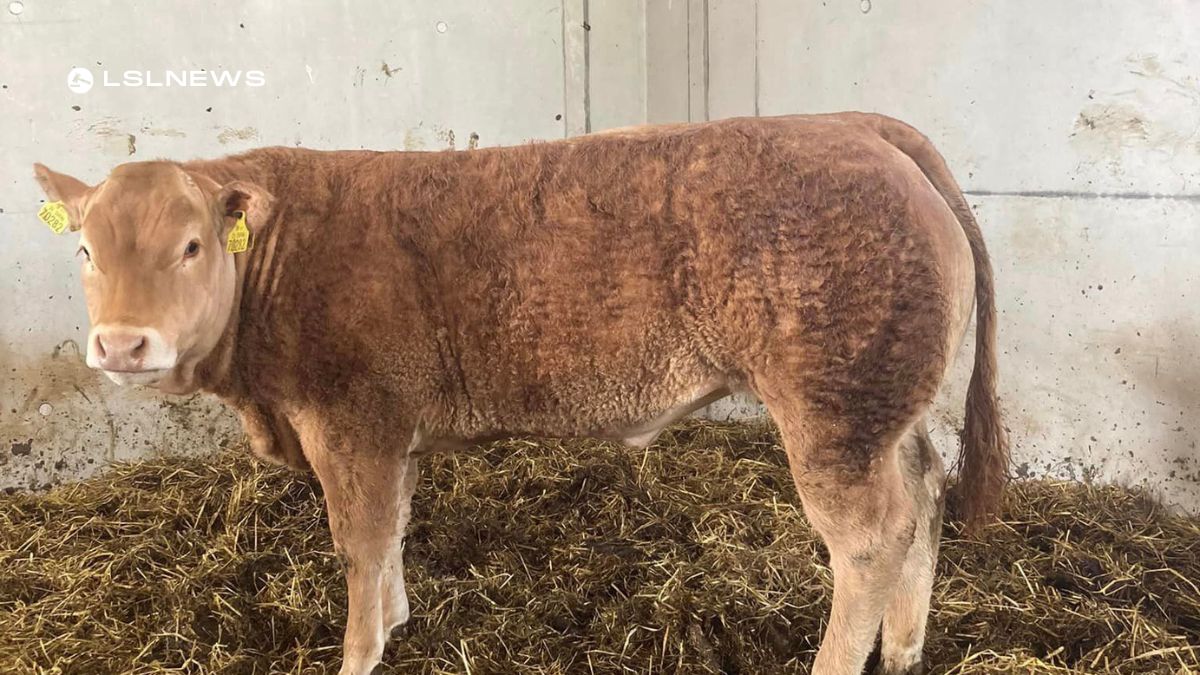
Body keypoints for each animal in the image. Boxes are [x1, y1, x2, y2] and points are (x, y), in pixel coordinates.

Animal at [33, 112, 1007, 675]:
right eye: (83, 249)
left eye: (193, 245)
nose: (121, 343)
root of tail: (861, 128)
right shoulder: (391, 434)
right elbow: (393, 531)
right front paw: (399, 619)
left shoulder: (350, 422)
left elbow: (359, 544)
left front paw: (361, 650)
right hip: (884, 413)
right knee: (923, 491)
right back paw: (906, 648)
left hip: (833, 412)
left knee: (870, 538)